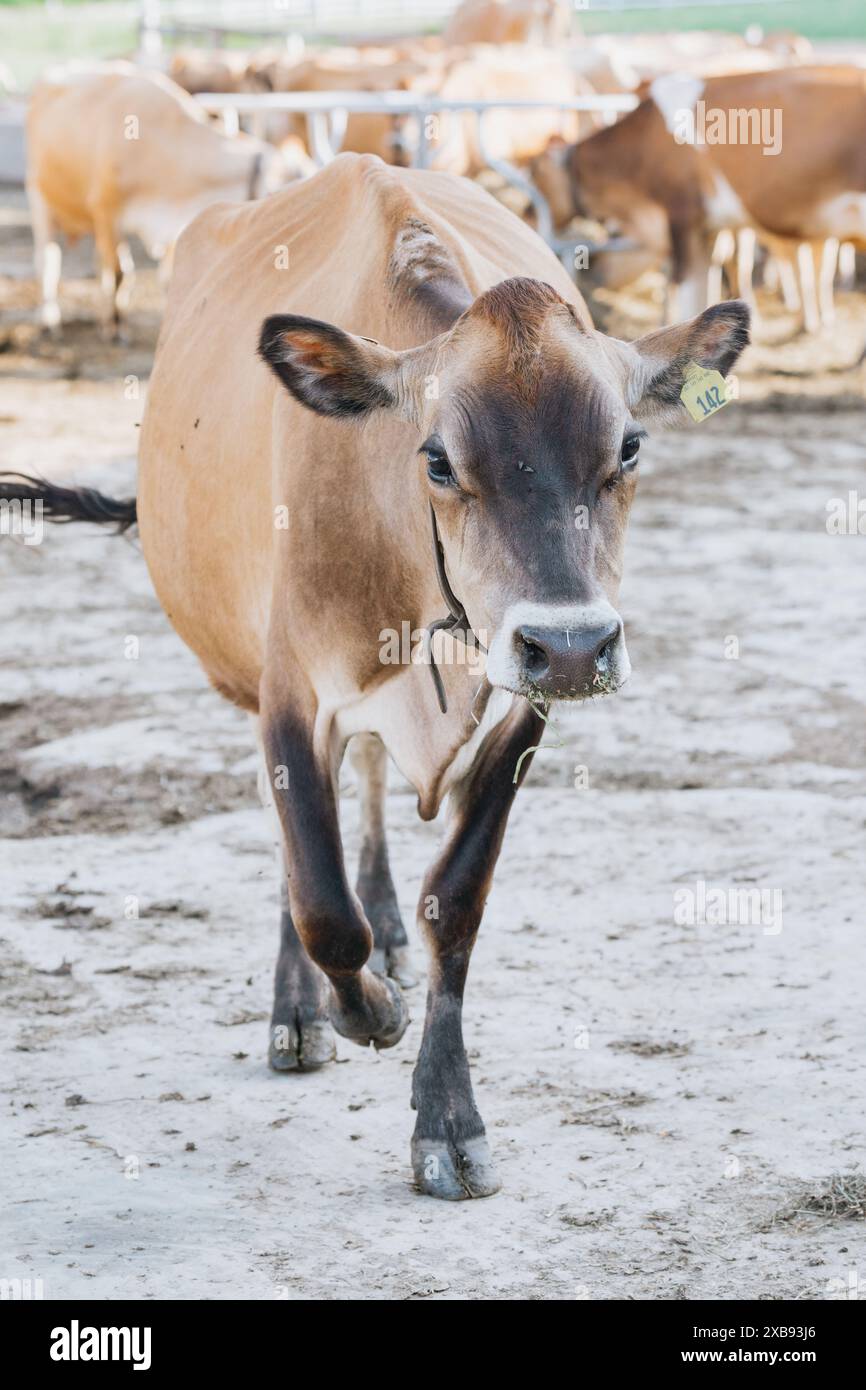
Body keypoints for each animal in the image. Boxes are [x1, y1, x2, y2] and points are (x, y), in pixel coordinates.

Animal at [0, 154, 749, 1199]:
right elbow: (320, 900)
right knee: (301, 842)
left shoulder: (520, 717)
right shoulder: (289, 695)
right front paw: (361, 1009)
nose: (569, 647)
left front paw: (449, 1118)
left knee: (367, 783)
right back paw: (302, 1010)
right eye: (436, 458)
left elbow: (457, 903)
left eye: (630, 447)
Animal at [26, 61, 296, 335]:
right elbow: (120, 272)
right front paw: (117, 327)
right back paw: (49, 318)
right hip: (39, 196)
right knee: (47, 260)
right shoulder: (106, 210)